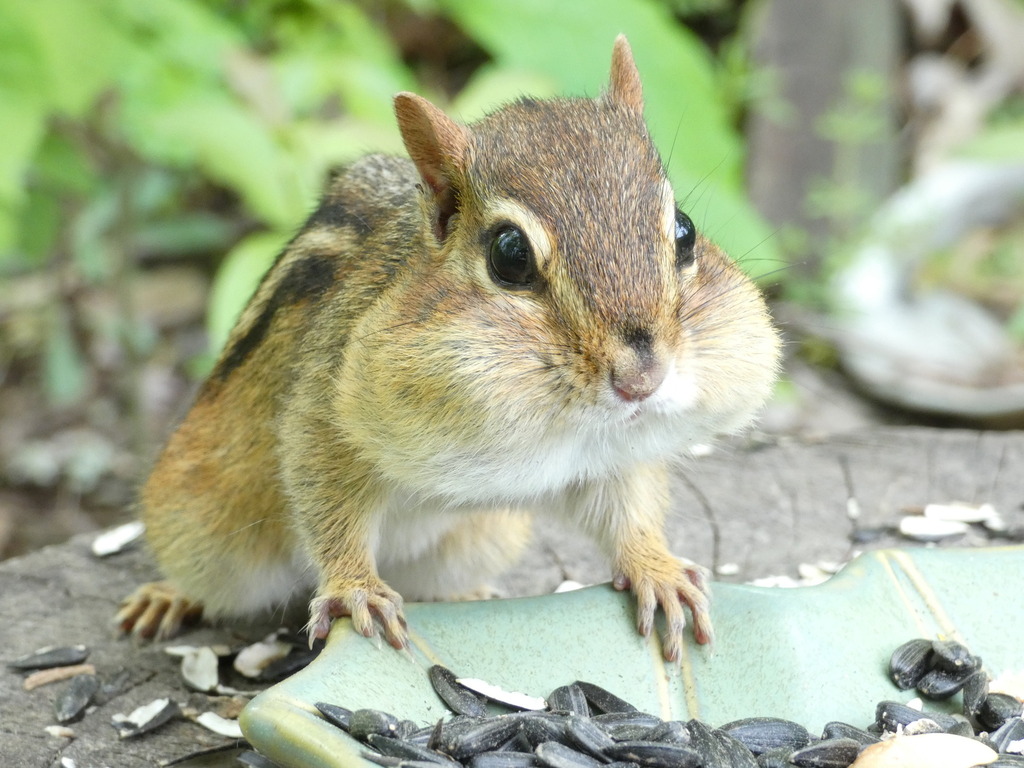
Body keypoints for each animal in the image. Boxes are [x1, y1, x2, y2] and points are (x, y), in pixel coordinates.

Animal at [117, 36, 780, 663]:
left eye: (685, 231)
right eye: (510, 254)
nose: (642, 379)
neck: (560, 422)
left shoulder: (604, 459)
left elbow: (625, 508)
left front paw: (657, 568)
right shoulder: (324, 413)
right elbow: (328, 501)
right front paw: (355, 587)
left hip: (478, 541)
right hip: (202, 532)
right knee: (209, 580)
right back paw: (167, 597)